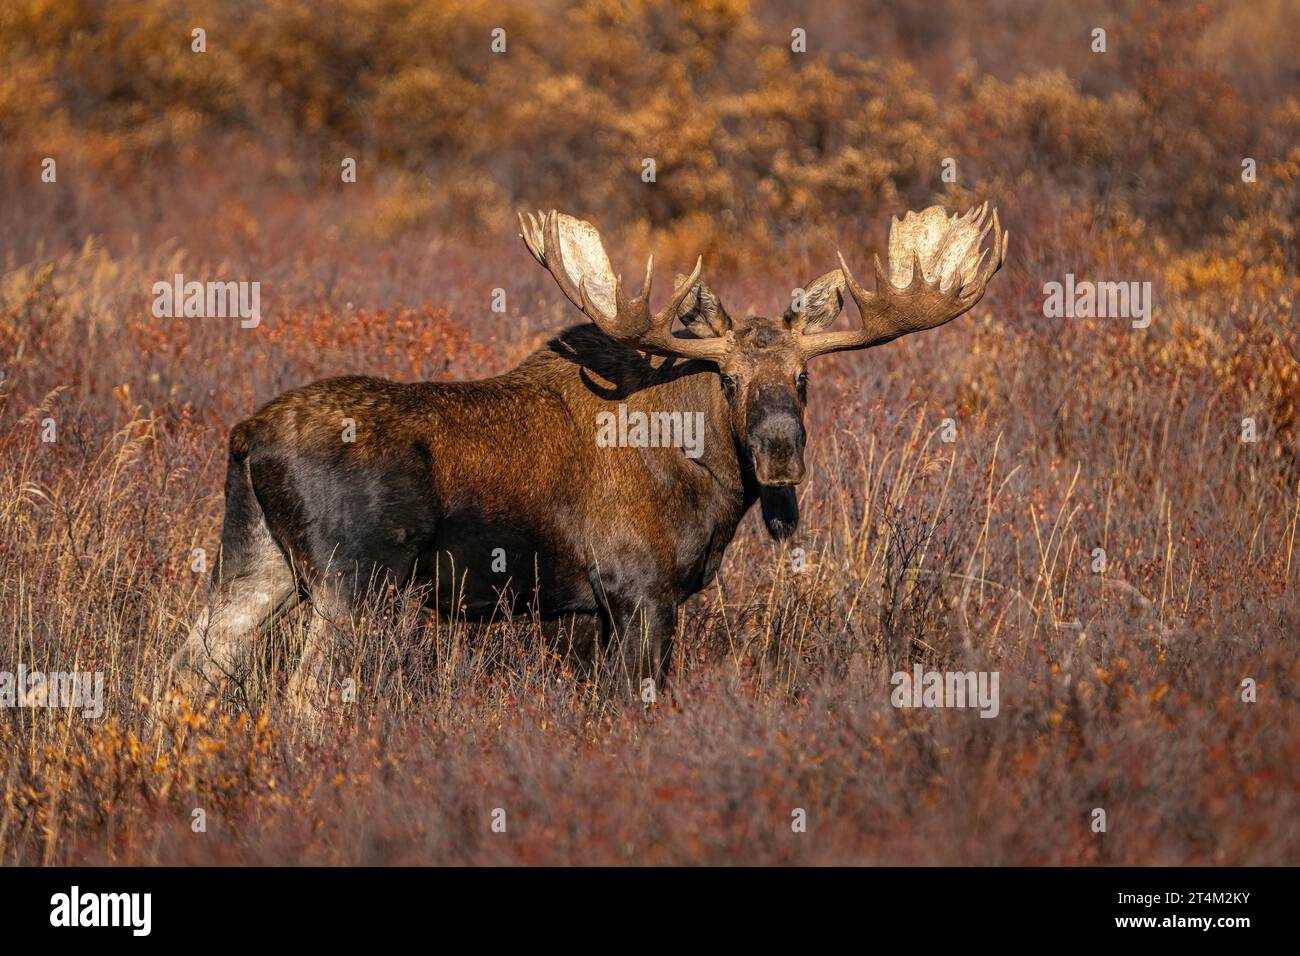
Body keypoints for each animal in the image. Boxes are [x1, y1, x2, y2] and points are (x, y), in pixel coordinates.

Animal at [165, 203, 1007, 714]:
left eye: (804, 377)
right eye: (730, 379)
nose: (779, 457)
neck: (706, 485)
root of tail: (246, 435)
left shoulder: (582, 613)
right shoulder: (640, 591)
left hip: (260, 563)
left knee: (188, 665)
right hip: (352, 582)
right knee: (303, 696)